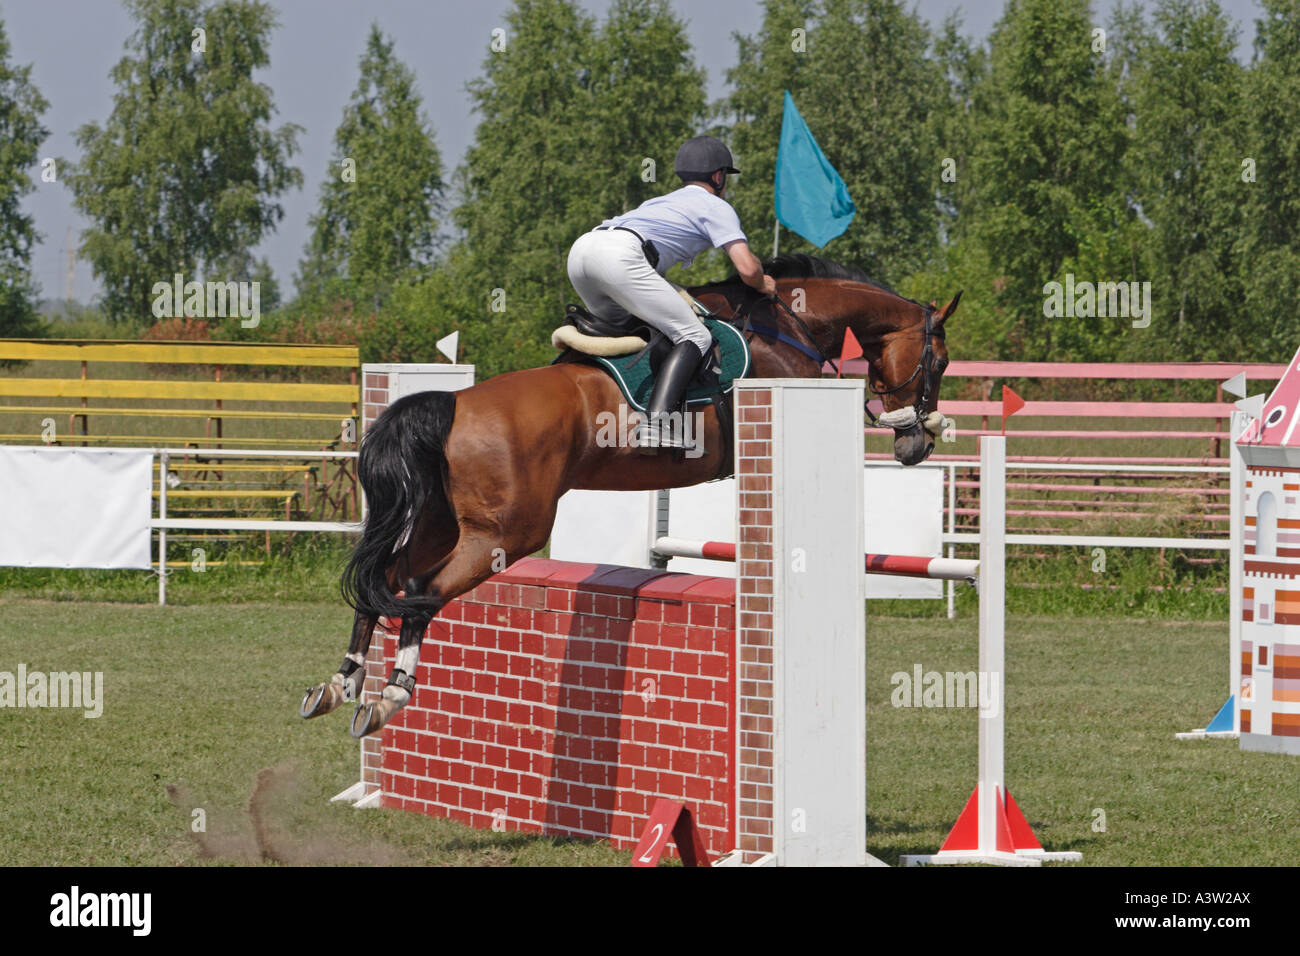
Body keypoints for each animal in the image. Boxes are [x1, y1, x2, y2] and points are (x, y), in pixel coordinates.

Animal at [301, 254, 961, 737]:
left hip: (444, 523)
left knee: (385, 580)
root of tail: (452, 403)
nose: (915, 446)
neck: (790, 327)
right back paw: (390, 695)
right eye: (941, 361)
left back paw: (342, 683)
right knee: (419, 589)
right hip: (504, 535)